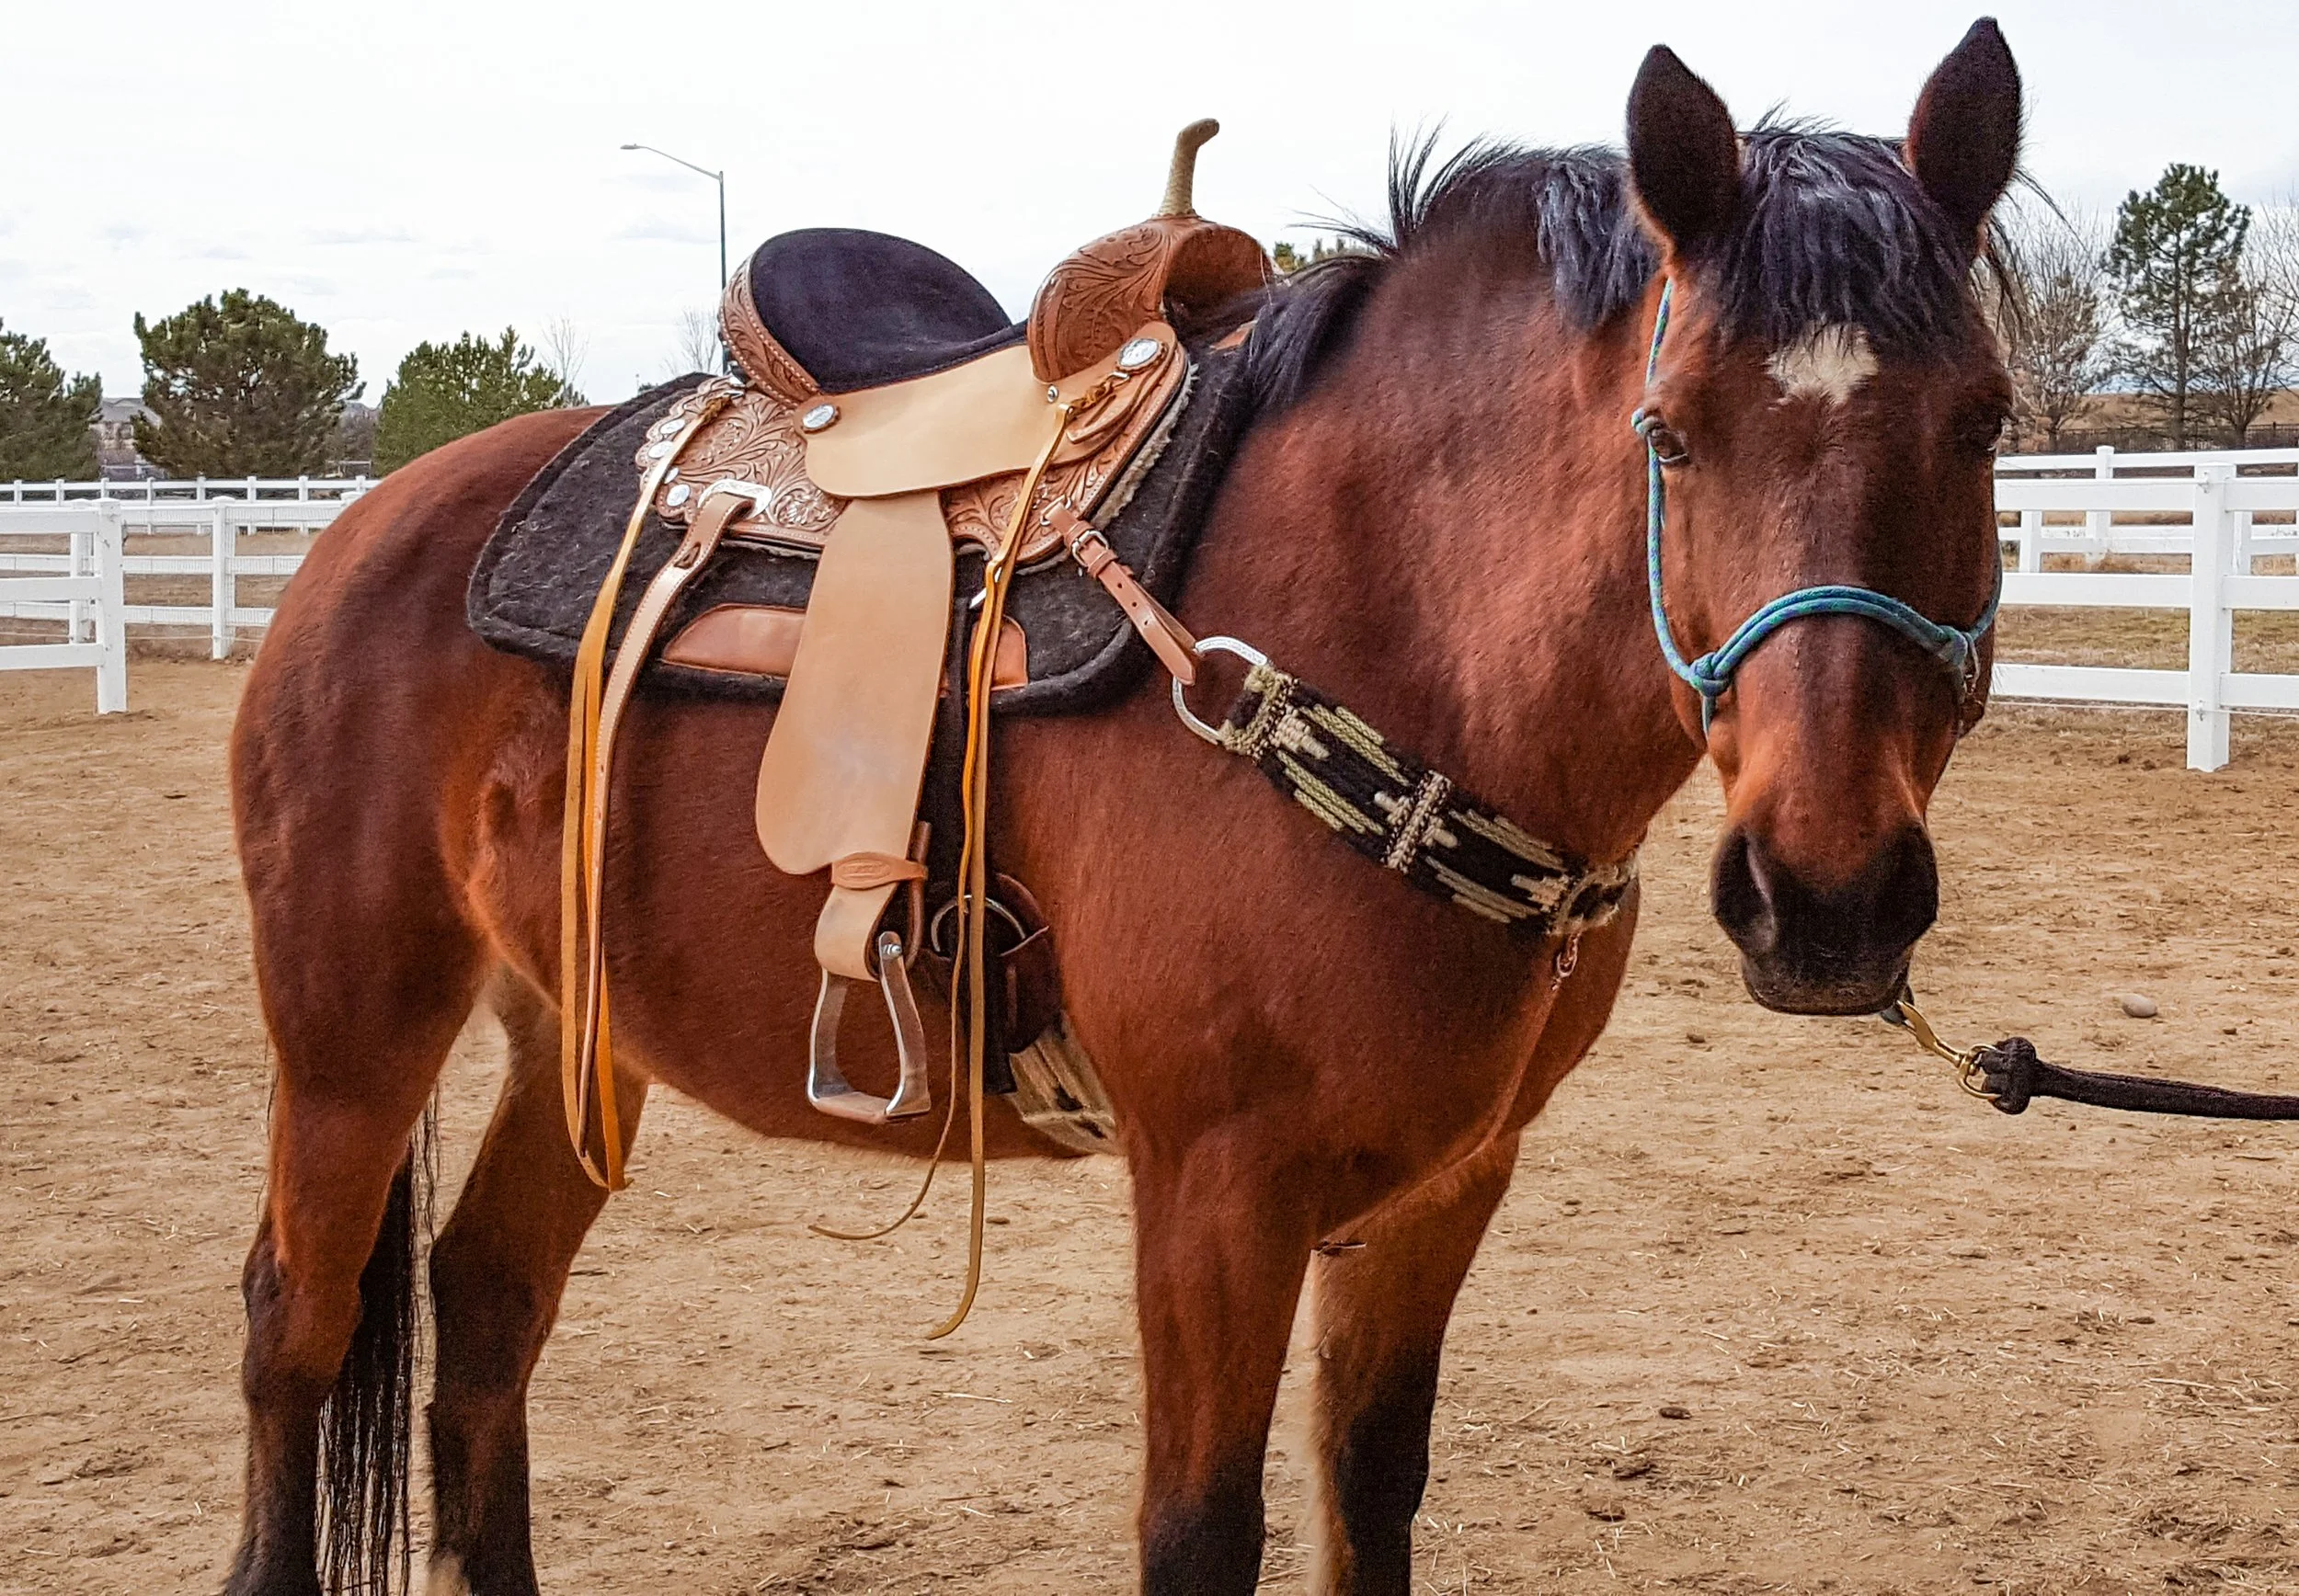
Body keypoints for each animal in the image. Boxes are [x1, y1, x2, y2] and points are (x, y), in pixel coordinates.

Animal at [223, 21, 2022, 1595]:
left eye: (1985, 419)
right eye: (1674, 430)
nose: (1828, 894)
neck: (1385, 621)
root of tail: (364, 526)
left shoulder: (1443, 1186)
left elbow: (1372, 1490)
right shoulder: (1218, 1192)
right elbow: (1200, 1532)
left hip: (578, 1032)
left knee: (485, 1309)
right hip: (352, 1027)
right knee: (292, 1323)